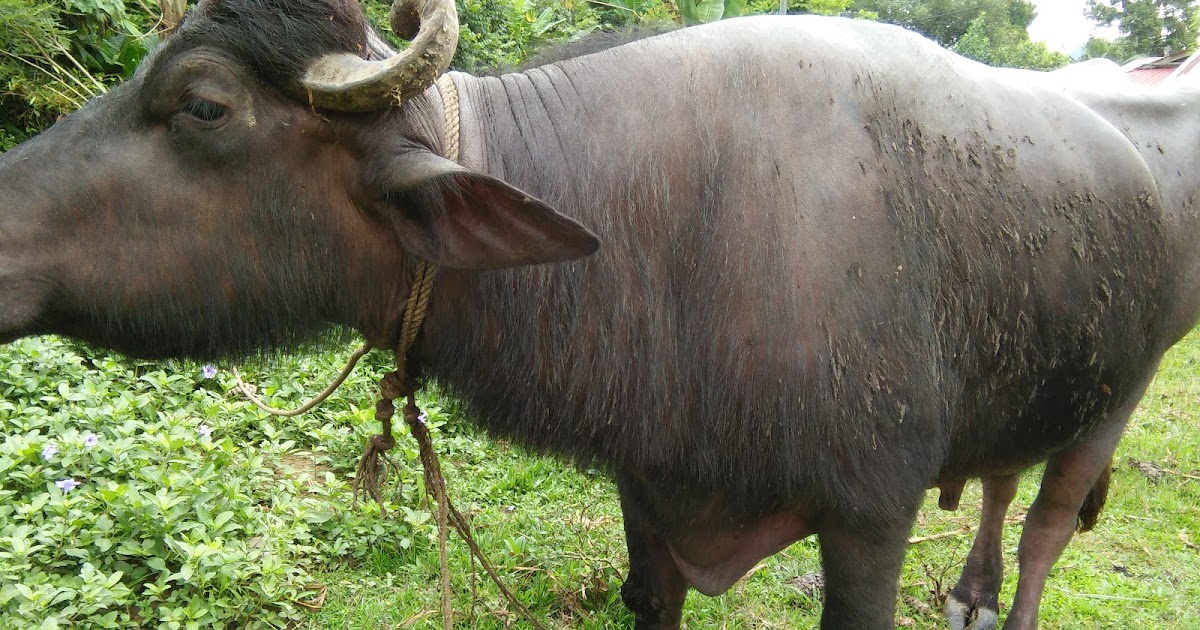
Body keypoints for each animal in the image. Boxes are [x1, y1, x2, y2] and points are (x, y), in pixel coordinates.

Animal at [1, 1, 1196, 628]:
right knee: (997, 484)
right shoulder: (650, 492)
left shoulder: (870, 517)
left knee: (1046, 530)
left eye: (203, 106)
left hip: (1114, 404)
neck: (666, 234)